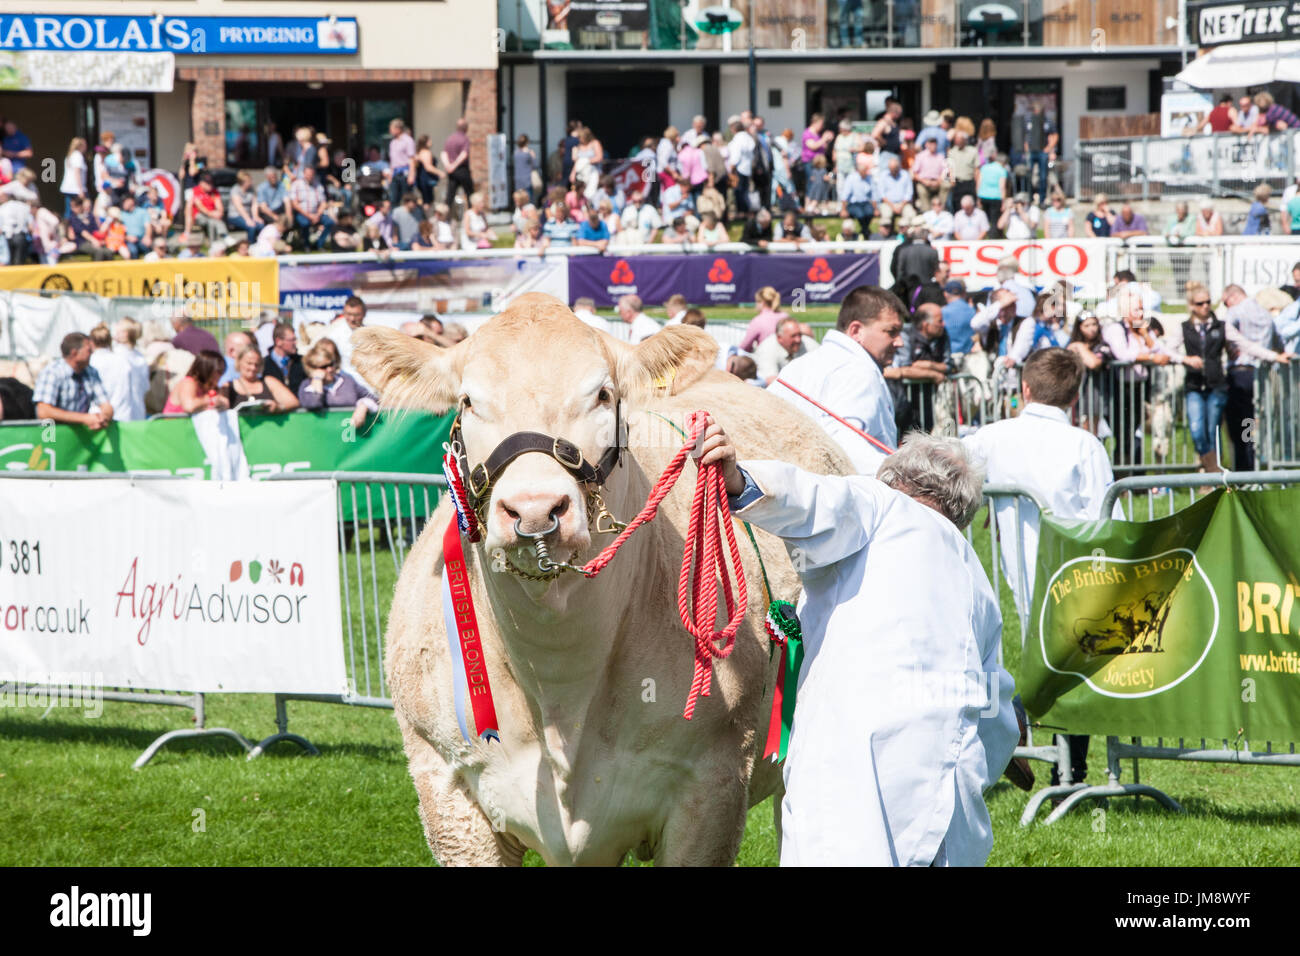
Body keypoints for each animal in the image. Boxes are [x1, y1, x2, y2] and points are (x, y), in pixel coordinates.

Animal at [353, 293, 853, 866]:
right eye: (468, 401)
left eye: (602, 394)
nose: (534, 508)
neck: (559, 685)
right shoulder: (445, 787)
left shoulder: (712, 788)